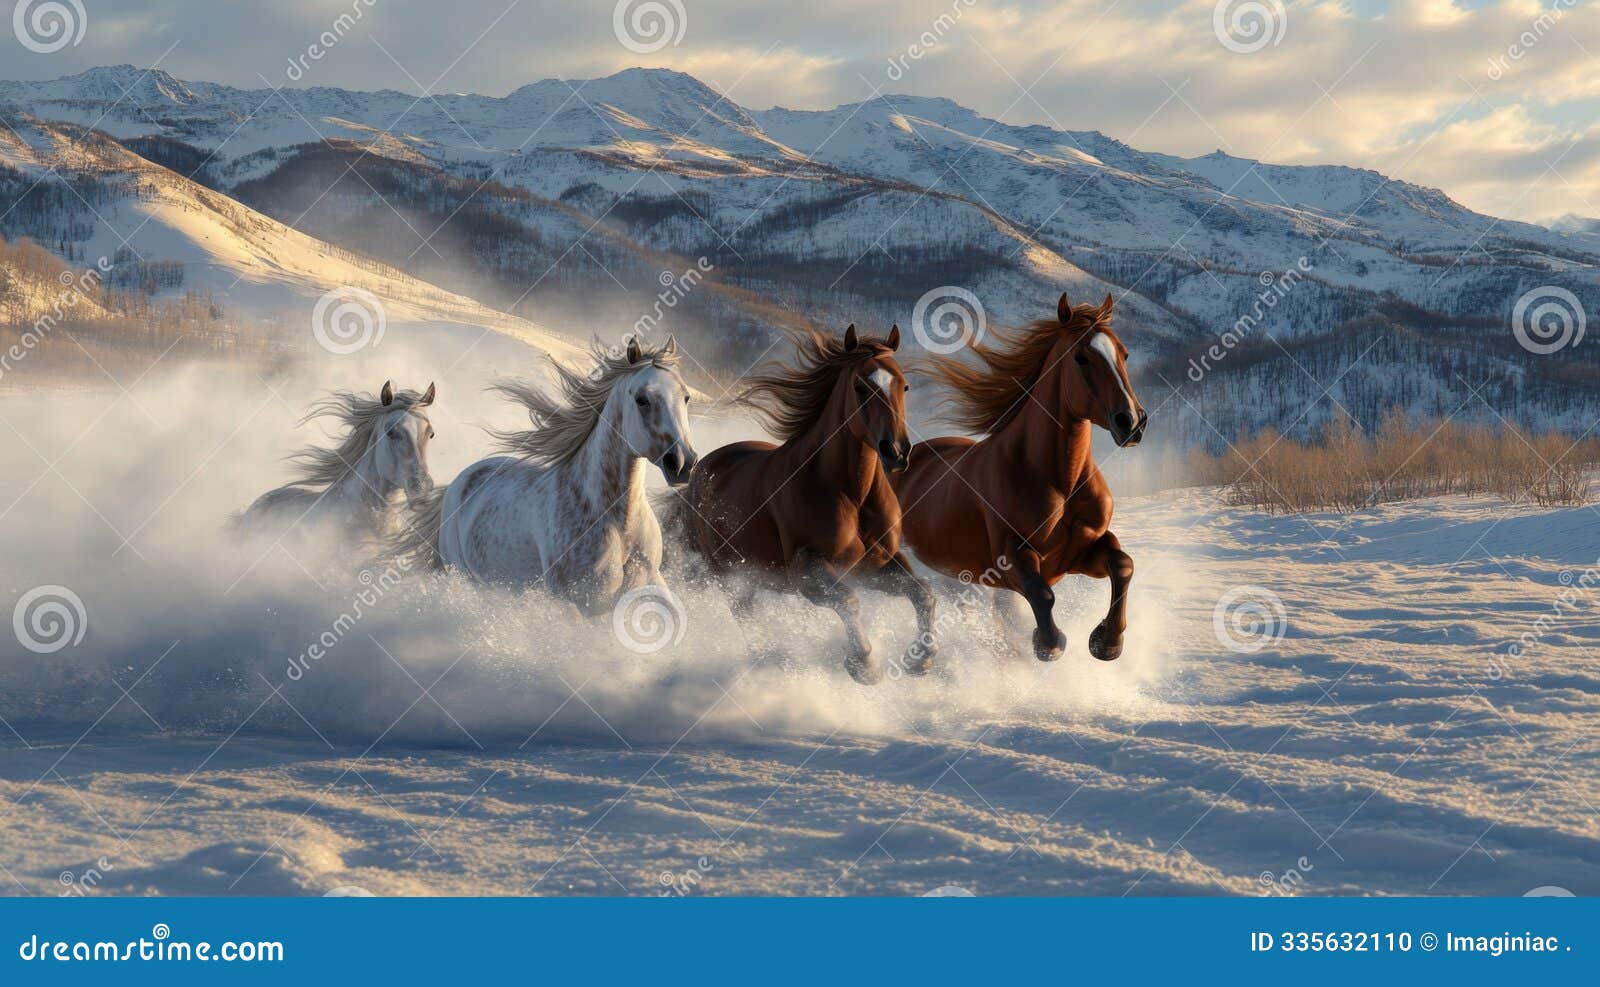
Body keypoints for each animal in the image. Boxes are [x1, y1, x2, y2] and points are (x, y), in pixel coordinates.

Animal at [395, 337, 697, 615]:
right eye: (642, 399)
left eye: (686, 397)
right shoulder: (580, 604)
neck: (619, 524)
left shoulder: (648, 583)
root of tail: (460, 482)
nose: (683, 463)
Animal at [679, 323, 936, 685]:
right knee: (746, 618)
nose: (896, 452)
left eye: (904, 385)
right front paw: (864, 665)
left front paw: (922, 659)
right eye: (860, 387)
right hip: (728, 577)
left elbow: (923, 592)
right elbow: (849, 600)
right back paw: (774, 660)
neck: (851, 494)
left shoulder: (876, 565)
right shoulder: (808, 571)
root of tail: (701, 471)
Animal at [892, 292, 1148, 664]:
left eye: (1124, 353)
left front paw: (1107, 641)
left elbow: (1122, 564)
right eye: (1081, 358)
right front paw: (1048, 643)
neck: (1060, 481)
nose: (1132, 422)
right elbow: (1042, 595)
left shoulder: (1083, 552)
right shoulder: (1009, 561)